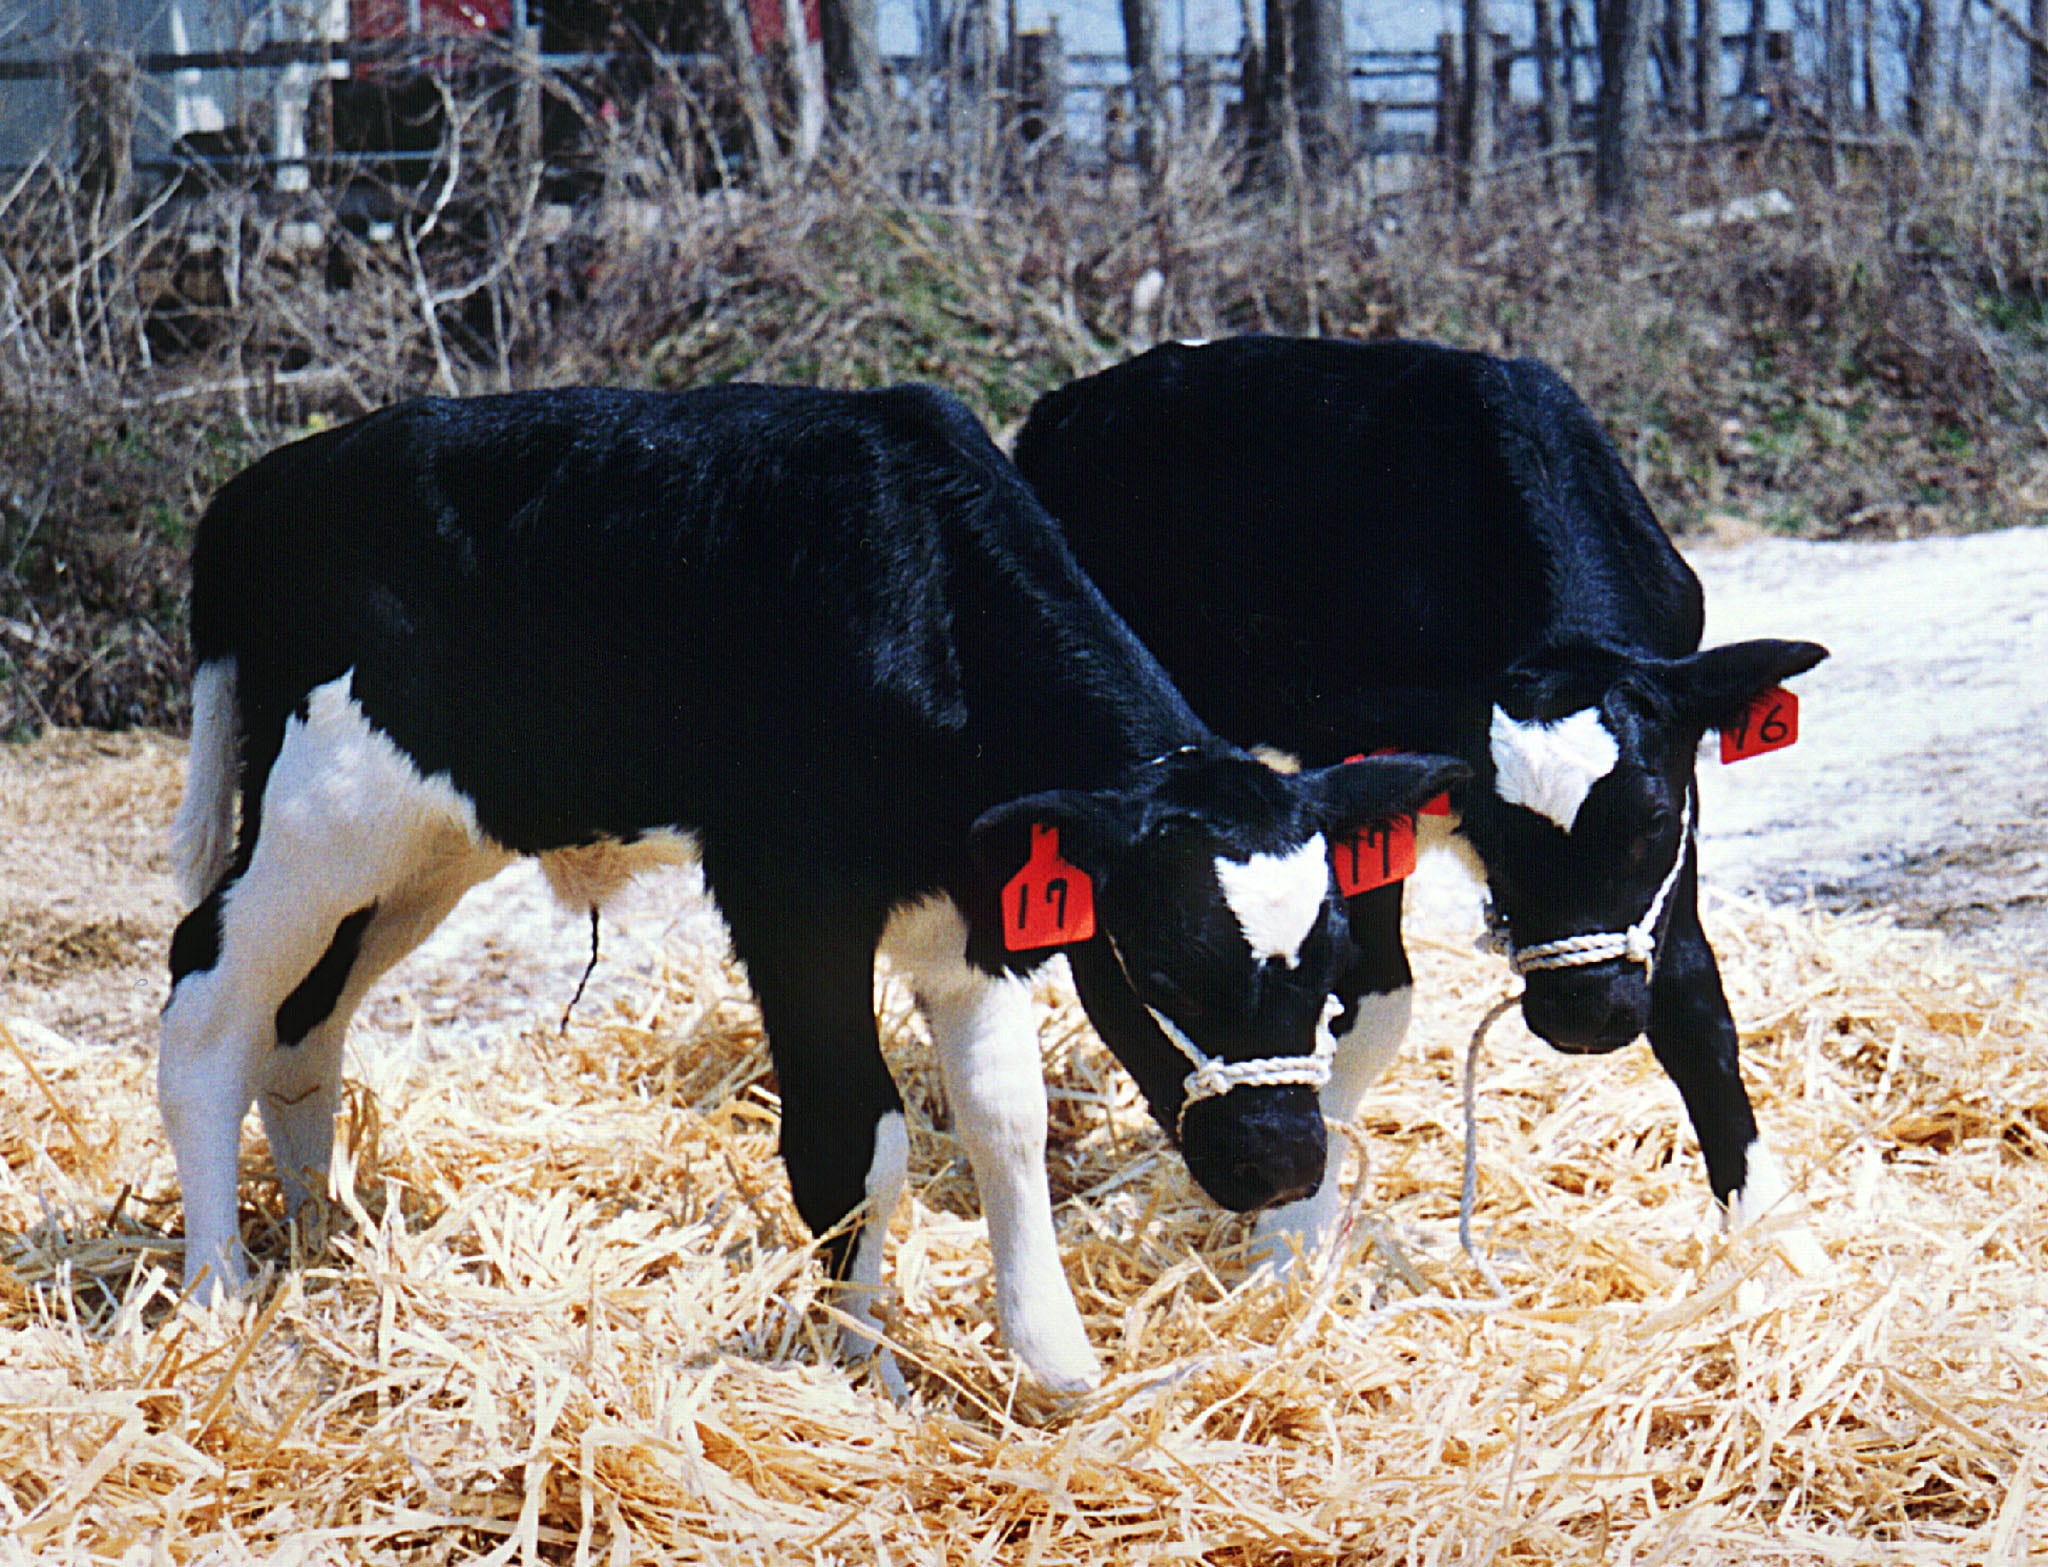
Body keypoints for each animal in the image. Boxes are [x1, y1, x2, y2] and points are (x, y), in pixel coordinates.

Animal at [161, 380, 1465, 1393]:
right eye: (1165, 963)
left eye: (1331, 970)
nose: (1285, 1163)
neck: (923, 599)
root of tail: (260, 488)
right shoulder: (791, 900)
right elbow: (854, 1140)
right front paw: (859, 1367)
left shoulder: (972, 912)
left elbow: (1003, 1119)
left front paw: (1050, 1356)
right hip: (319, 816)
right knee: (205, 1003)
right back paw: (218, 1292)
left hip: (421, 852)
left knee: (303, 1024)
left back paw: (327, 1239)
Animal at [1012, 336, 1829, 1267]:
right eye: (1496, 831)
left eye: (1650, 821)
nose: (1586, 1015)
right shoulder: (1353, 784)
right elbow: (1378, 999)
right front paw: (1292, 1233)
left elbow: (1694, 992)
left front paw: (1779, 1237)